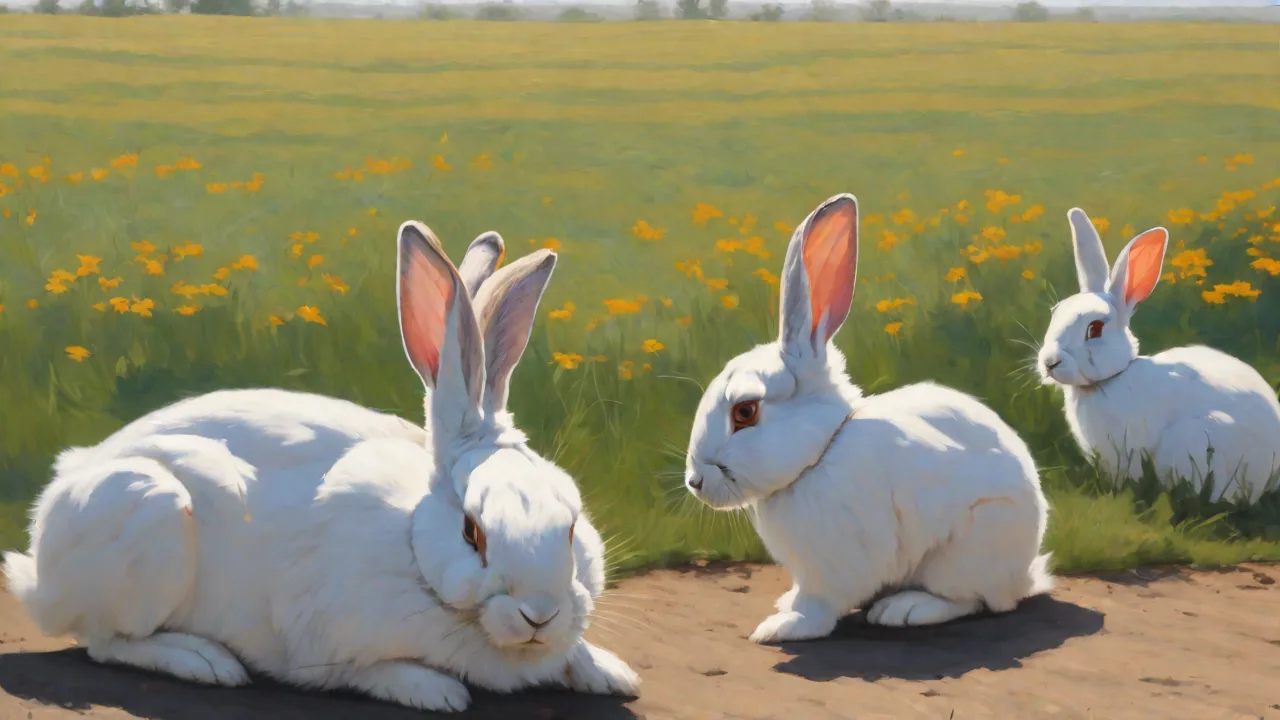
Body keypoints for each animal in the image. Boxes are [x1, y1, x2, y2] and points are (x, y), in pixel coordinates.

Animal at [2, 222, 638, 712]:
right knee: (105, 641)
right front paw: (435, 691)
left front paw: (612, 673)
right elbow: (372, 671)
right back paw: (203, 660)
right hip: (147, 512)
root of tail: (39, 564)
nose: (540, 614)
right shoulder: (322, 645)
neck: (413, 553)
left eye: (572, 526)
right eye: (471, 531)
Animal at [682, 193, 1052, 644]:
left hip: (966, 550)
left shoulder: (835, 566)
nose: (695, 482)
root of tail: (1025, 577)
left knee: (971, 601)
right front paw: (784, 606)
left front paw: (781, 628)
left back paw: (905, 609)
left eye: (745, 411)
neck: (821, 452)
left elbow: (819, 606)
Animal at [1036, 208, 1280, 503]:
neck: (1110, 380)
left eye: (1095, 329)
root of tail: (1273, 474)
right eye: (1055, 313)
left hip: (1198, 440)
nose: (1049, 363)